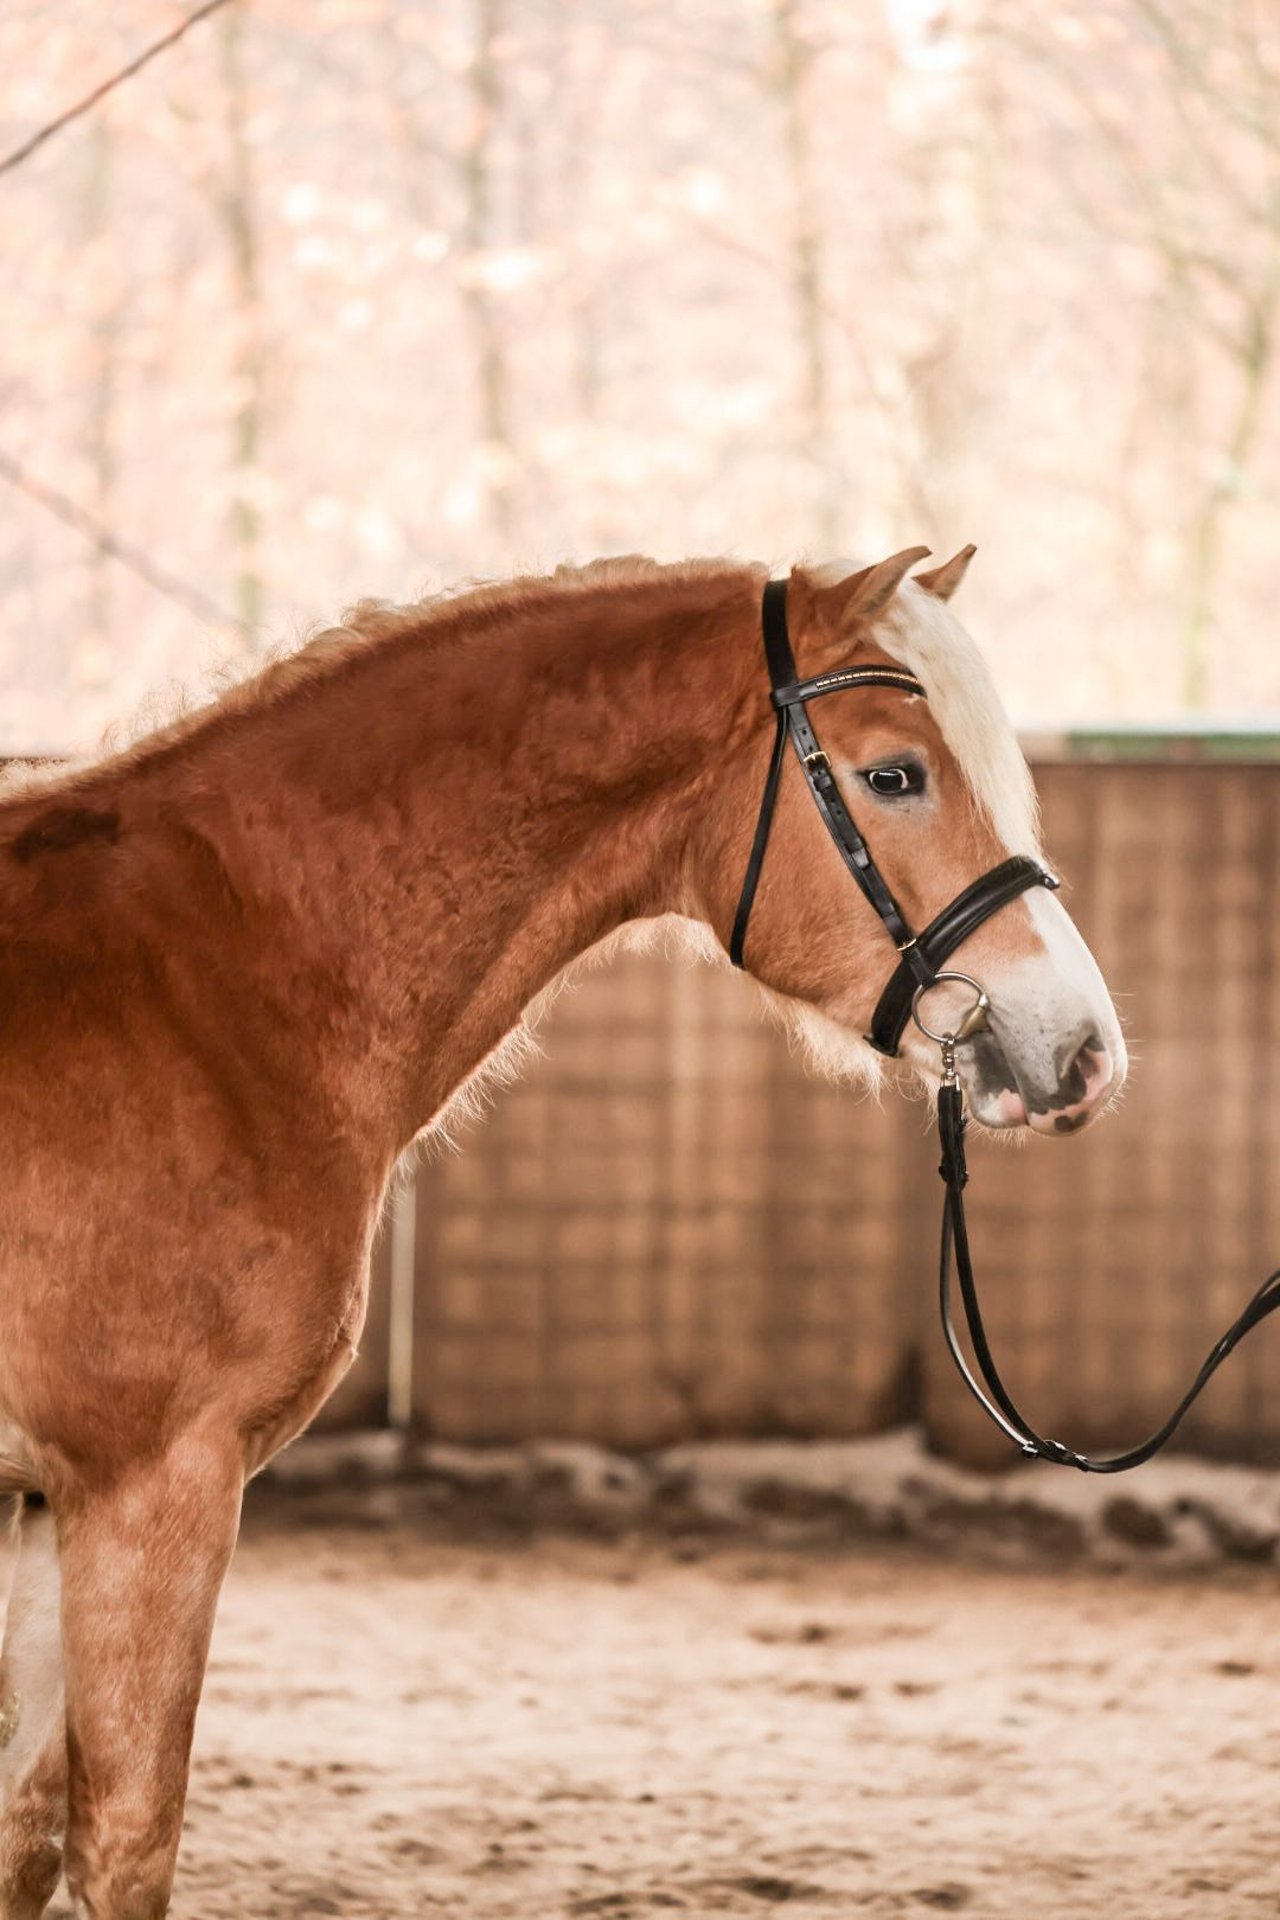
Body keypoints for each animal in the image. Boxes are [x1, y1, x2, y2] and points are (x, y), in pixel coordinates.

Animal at [0, 545, 1125, 1918]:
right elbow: (125, 1840)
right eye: (894, 775)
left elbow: (25, 1834)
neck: (200, 986)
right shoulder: (147, 1486)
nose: (1080, 1049)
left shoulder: (46, 1502)